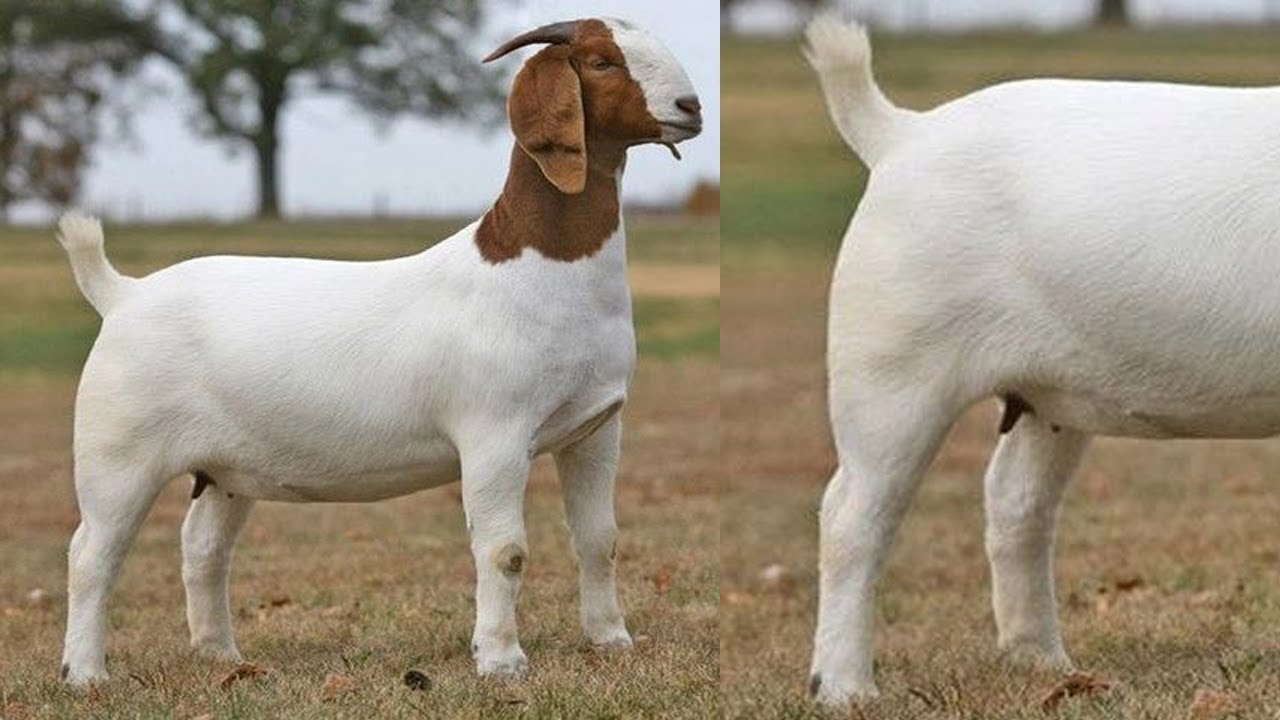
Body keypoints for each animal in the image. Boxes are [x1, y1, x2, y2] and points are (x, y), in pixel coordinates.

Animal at [55, 17, 701, 687]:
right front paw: (500, 661)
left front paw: (612, 642)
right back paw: (86, 674)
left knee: (203, 547)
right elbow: (505, 550)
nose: (690, 107)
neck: (538, 266)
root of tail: (123, 294)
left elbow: (600, 538)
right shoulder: (494, 434)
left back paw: (221, 656)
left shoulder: (595, 429)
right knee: (92, 554)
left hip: (225, 468)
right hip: (119, 452)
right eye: (601, 62)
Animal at [804, 12, 1280, 708]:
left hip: (1048, 393)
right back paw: (845, 689)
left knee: (1016, 501)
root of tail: (905, 134)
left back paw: (1040, 663)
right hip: (893, 366)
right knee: (854, 517)